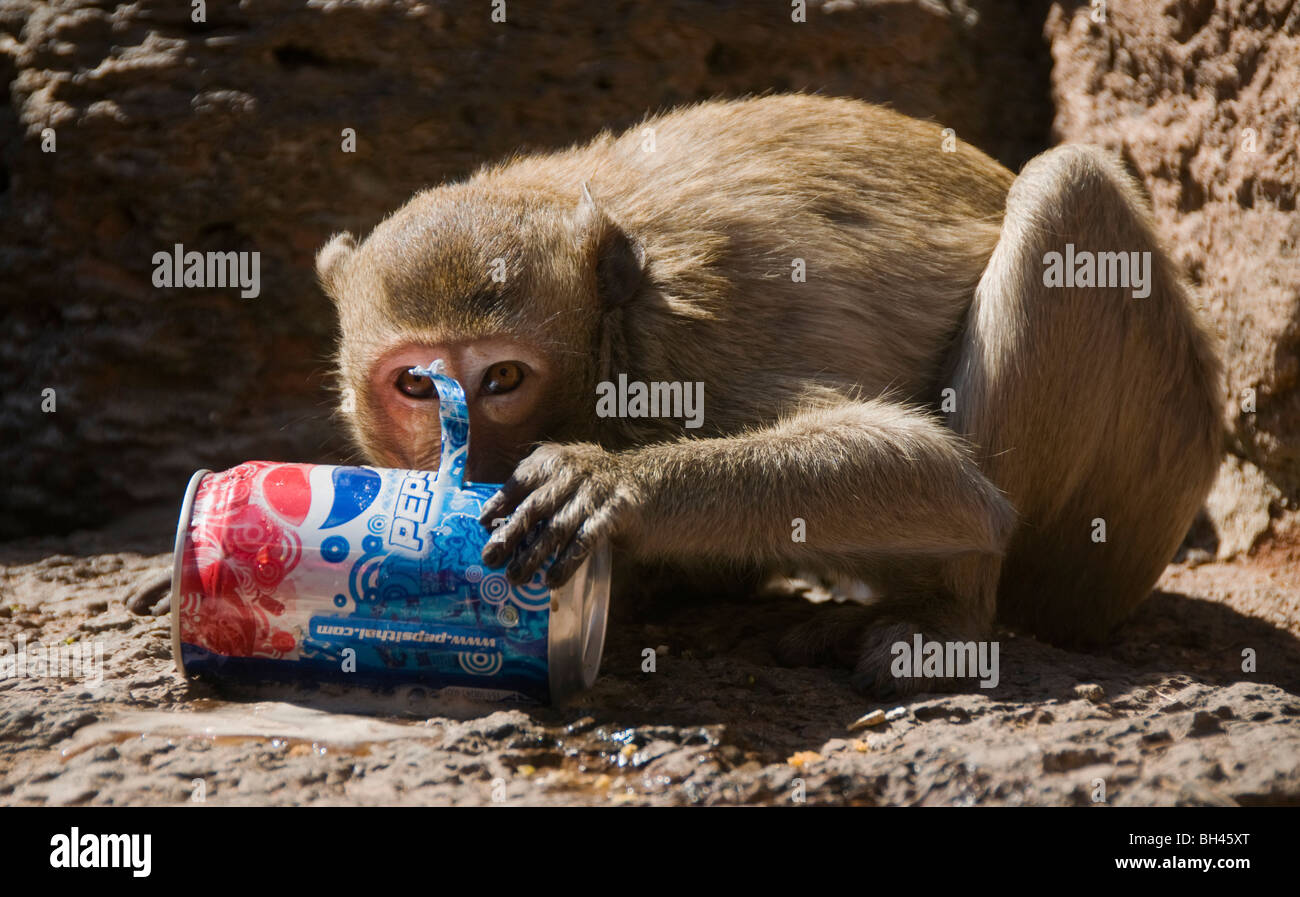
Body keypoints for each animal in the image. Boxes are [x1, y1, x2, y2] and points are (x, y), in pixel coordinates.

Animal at [313, 94, 1222, 696]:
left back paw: (947, 620)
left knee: (1070, 192)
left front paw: (607, 482)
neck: (614, 318)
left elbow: (936, 477)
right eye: (415, 384)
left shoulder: (693, 348)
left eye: (502, 378)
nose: (467, 463)